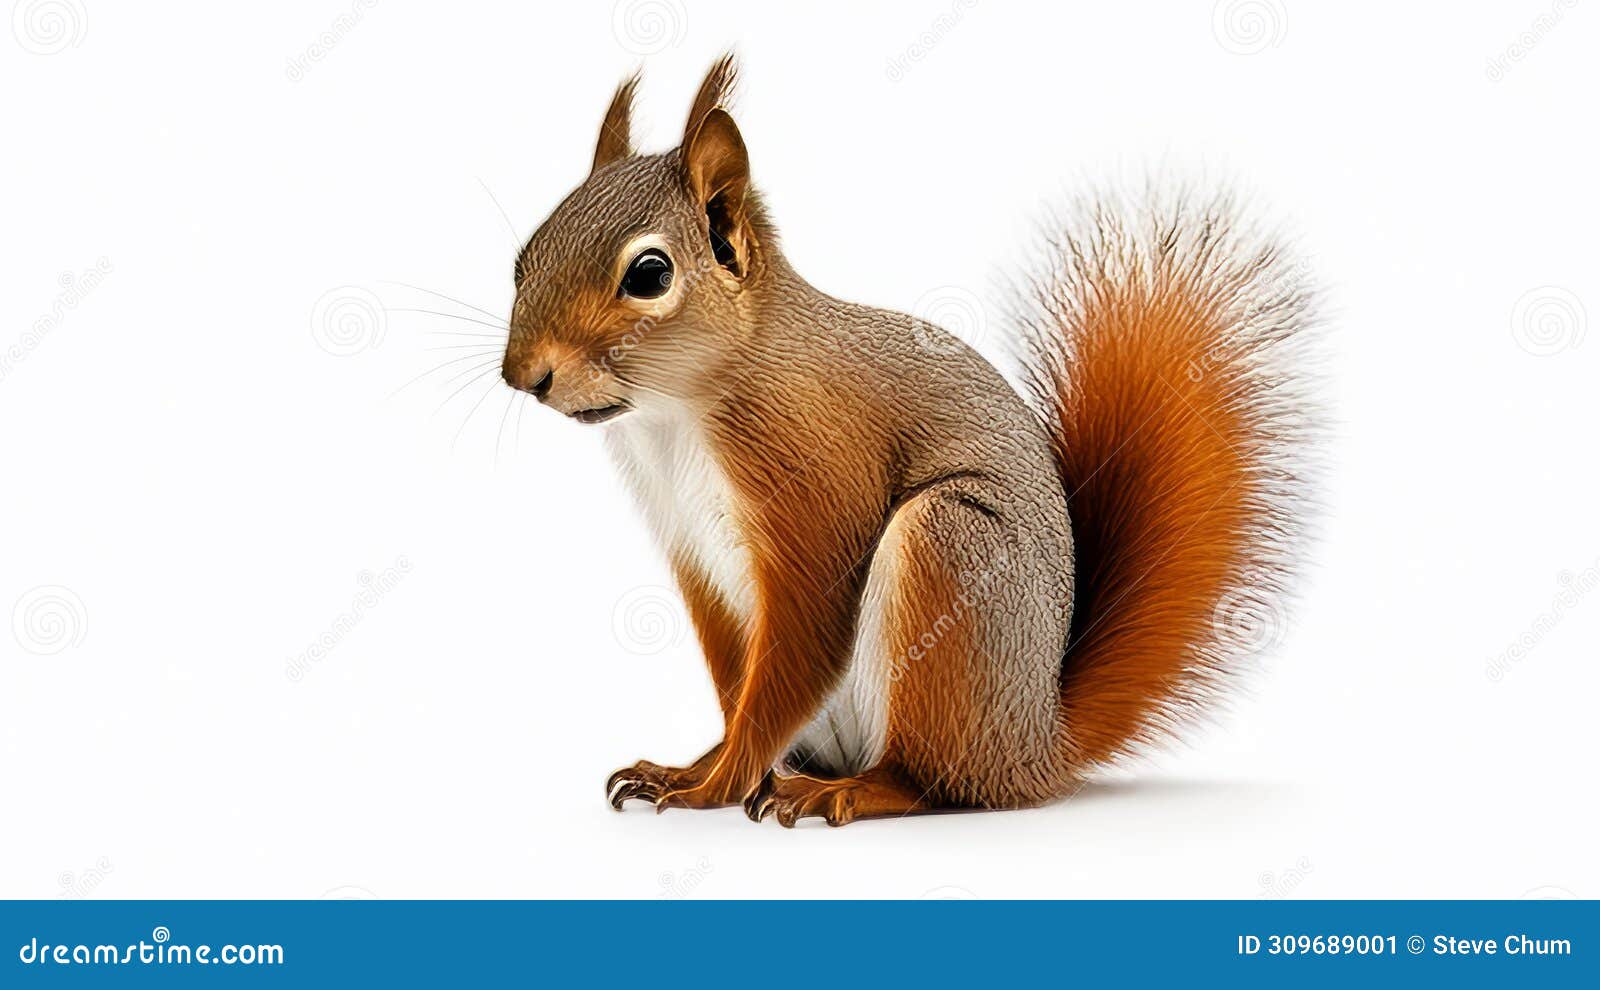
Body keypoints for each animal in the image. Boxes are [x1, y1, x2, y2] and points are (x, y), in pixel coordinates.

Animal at [499, 55, 1318, 826]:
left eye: (649, 273)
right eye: (523, 258)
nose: (523, 375)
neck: (674, 415)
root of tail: (1034, 748)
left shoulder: (816, 473)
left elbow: (799, 639)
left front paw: (716, 786)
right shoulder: (693, 550)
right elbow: (740, 680)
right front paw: (697, 770)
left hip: (952, 557)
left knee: (932, 780)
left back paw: (848, 791)